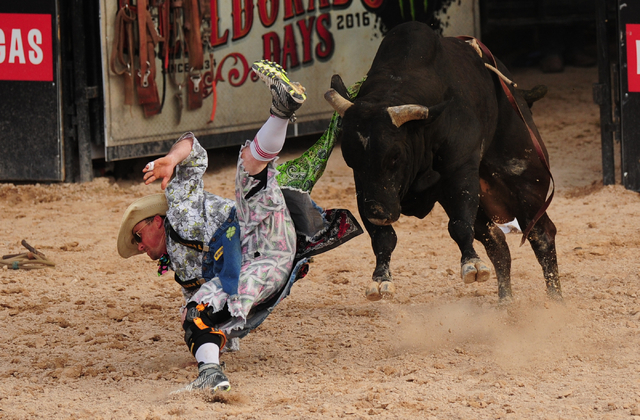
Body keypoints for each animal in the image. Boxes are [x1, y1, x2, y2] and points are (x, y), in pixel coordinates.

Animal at [324, 21, 560, 302]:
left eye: (395, 156)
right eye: (351, 158)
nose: (378, 213)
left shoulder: (460, 173)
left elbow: (458, 225)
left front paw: (472, 265)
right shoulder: (366, 191)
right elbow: (383, 237)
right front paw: (380, 280)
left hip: (526, 182)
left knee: (541, 235)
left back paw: (556, 300)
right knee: (496, 242)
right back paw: (506, 301)